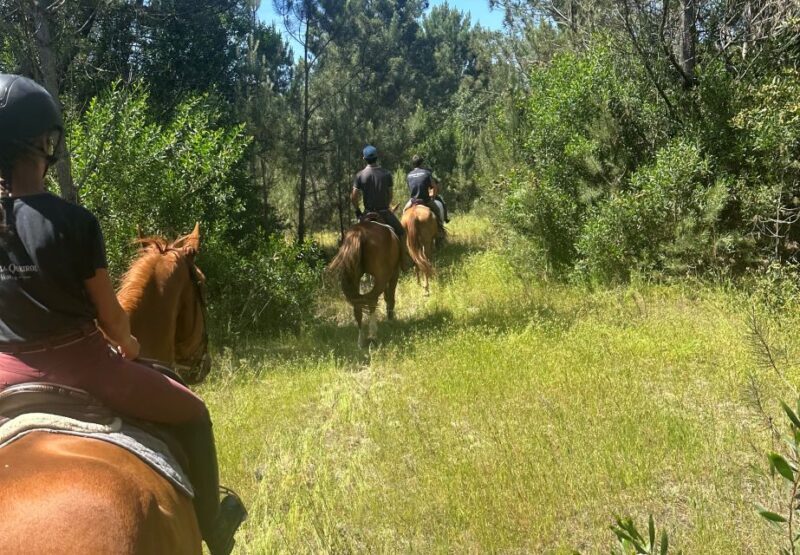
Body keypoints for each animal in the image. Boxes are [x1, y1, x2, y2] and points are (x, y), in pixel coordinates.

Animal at [329, 219, 401, 348]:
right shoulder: (394, 273)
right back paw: (373, 333)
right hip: (382, 277)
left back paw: (360, 340)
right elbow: (390, 298)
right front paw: (390, 320)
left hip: (354, 277)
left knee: (358, 305)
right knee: (372, 299)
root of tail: (360, 232)